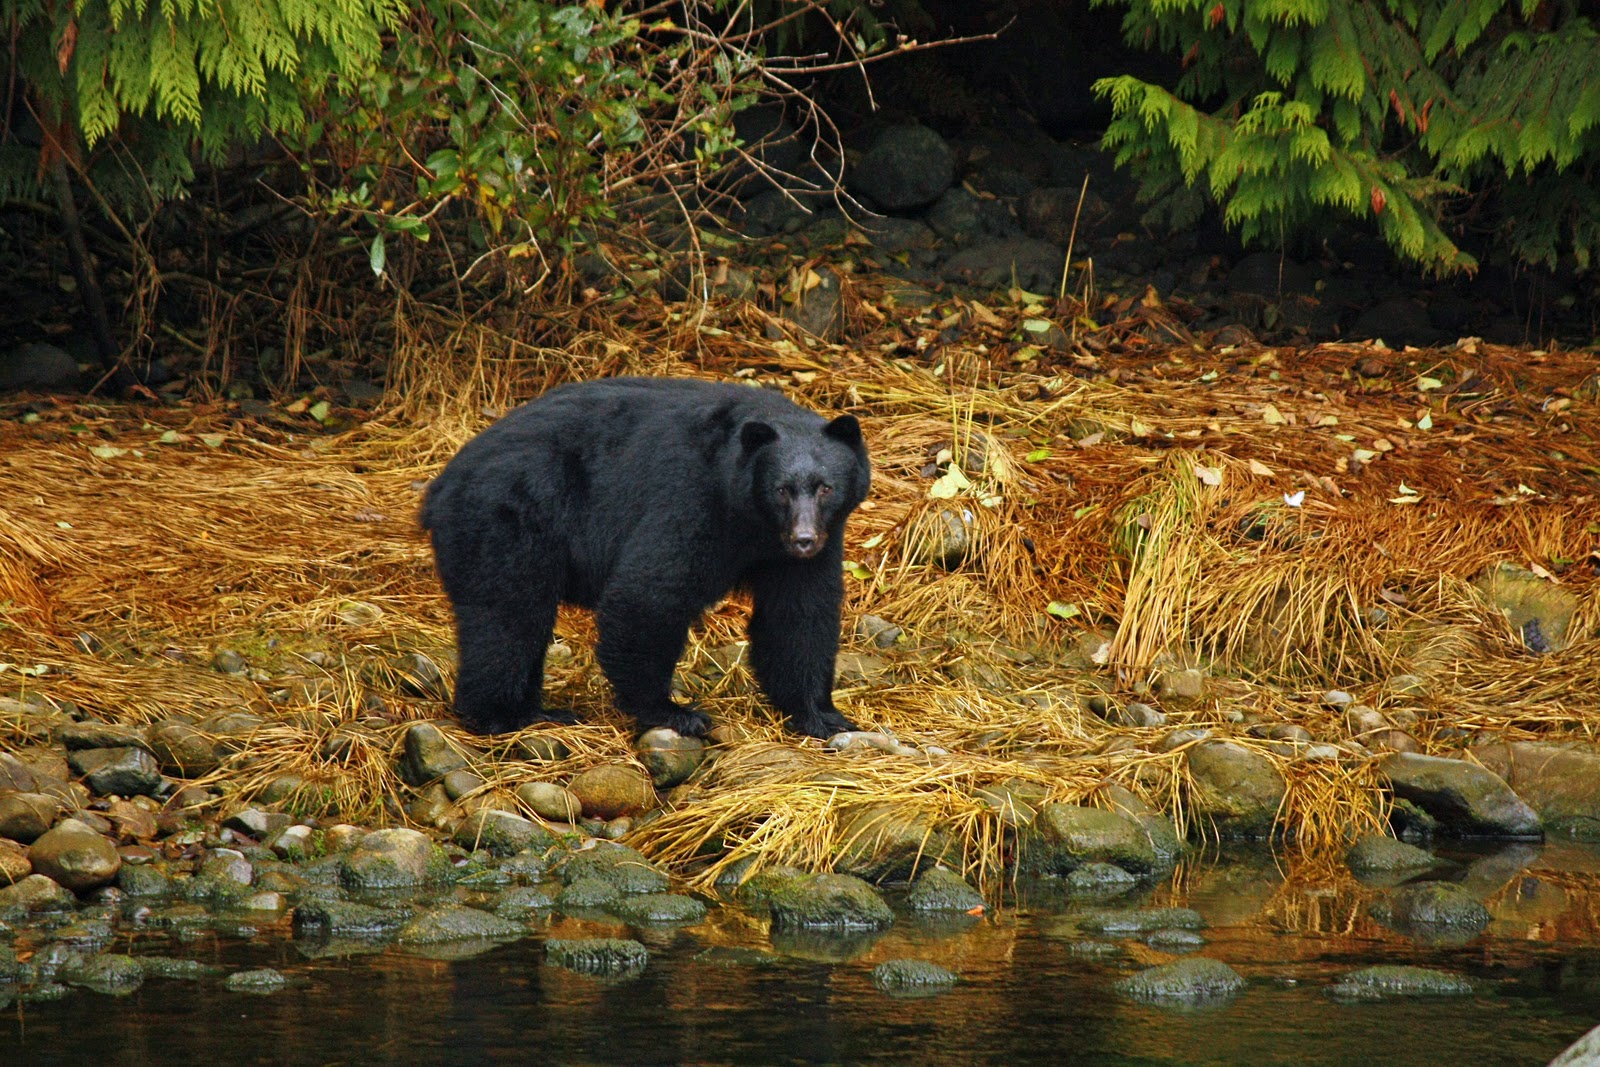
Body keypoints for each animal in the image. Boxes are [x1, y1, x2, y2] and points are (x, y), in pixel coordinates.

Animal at [420, 376, 872, 739]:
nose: (804, 539)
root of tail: (439, 486)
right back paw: (502, 715)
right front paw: (673, 712)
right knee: (508, 617)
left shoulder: (805, 548)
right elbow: (650, 593)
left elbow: (798, 616)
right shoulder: (693, 498)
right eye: (781, 489)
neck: (752, 519)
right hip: (507, 521)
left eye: (826, 487)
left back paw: (538, 710)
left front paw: (823, 715)